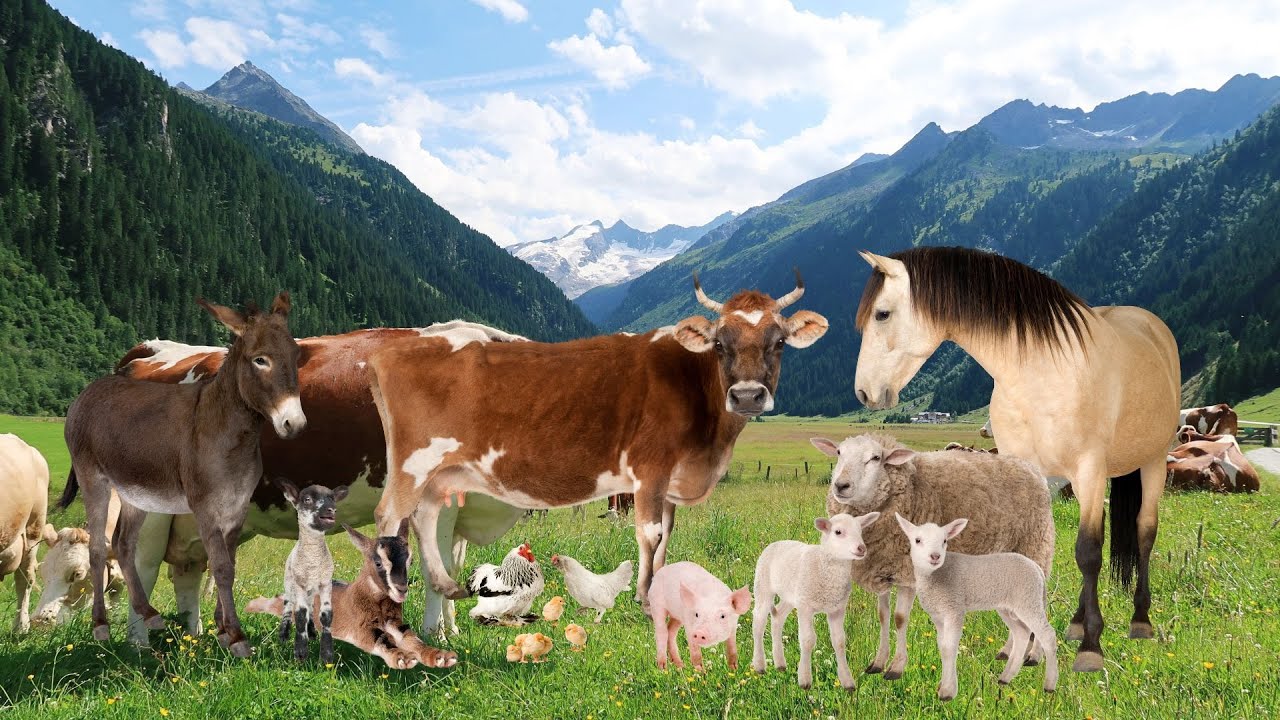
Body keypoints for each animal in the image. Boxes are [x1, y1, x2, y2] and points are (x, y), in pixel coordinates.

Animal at [110, 321, 527, 641]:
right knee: (142, 564)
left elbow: (450, 567)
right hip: (151, 506)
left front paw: (448, 631)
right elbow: (433, 570)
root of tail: (160, 349)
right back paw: (139, 644)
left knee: (189, 570)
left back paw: (196, 637)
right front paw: (433, 638)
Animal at [366, 273, 829, 606]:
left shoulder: (670, 479)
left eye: (779, 342)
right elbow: (650, 534)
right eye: (719, 343)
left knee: (425, 517)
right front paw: (644, 597)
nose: (748, 395)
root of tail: (395, 347)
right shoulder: (650, 468)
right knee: (389, 516)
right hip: (413, 462)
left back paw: (445, 584)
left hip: (440, 470)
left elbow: (667, 535)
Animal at [751, 512, 881, 690]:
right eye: (838, 532)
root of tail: (776, 542)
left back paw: (780, 664)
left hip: (791, 596)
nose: (861, 548)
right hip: (763, 585)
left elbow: (839, 641)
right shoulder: (806, 607)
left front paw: (847, 681)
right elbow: (807, 640)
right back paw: (759, 665)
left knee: (778, 617)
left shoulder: (837, 609)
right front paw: (805, 679)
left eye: (860, 531)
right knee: (758, 622)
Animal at [814, 433, 1054, 680]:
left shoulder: (907, 573)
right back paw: (1008, 652)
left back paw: (1034, 656)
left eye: (876, 458)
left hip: (1036, 549)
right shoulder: (884, 569)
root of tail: (1032, 469)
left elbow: (900, 619)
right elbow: (883, 616)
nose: (841, 485)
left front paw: (896, 667)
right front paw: (878, 663)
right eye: (839, 453)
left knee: (1039, 607)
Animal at [895, 514, 1058, 700]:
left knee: (1047, 634)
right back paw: (1006, 677)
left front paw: (948, 691)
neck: (935, 576)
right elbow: (942, 647)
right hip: (1011, 606)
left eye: (944, 540)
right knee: (1022, 632)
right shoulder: (938, 615)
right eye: (917, 540)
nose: (935, 556)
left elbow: (949, 647)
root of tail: (1036, 568)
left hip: (1028, 599)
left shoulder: (954, 608)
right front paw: (942, 686)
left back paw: (1049, 685)